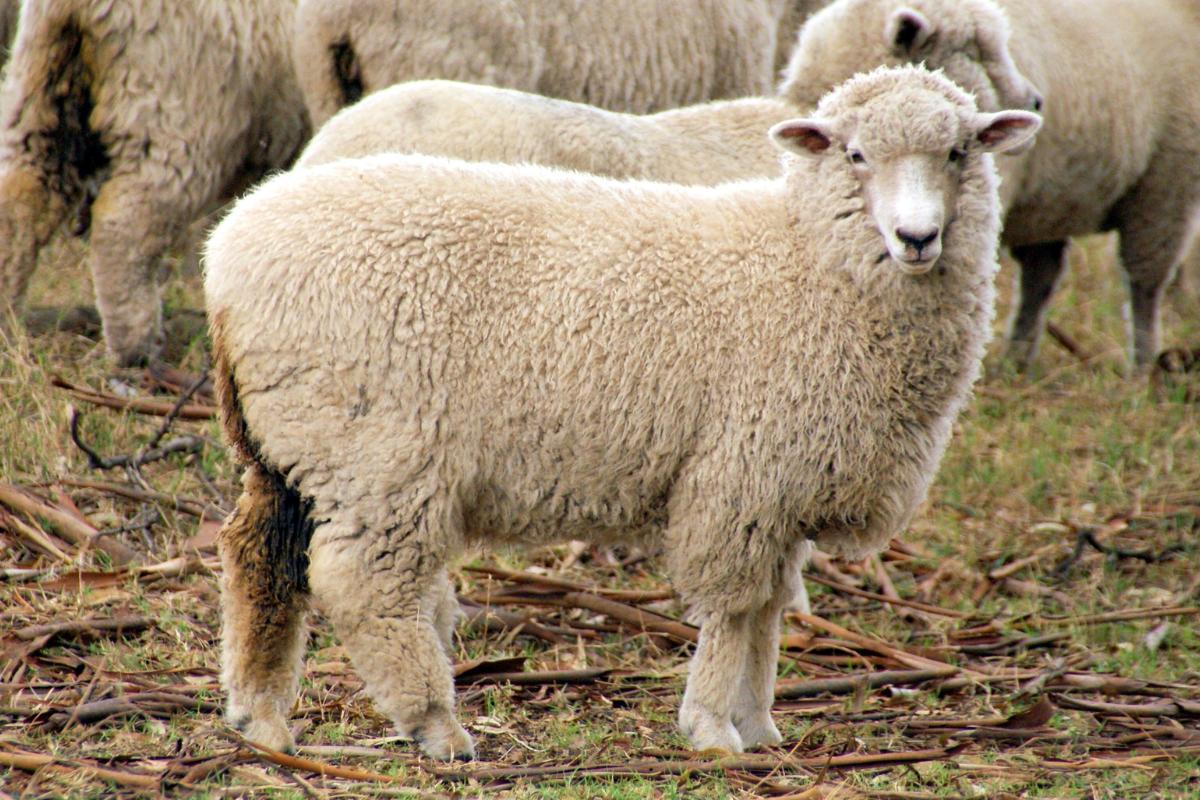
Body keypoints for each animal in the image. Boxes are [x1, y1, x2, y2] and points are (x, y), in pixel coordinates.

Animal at [0, 0, 309, 366]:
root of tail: (77, 7)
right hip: (173, 105)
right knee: (122, 227)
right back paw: (136, 347)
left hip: (43, 83)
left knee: (21, 208)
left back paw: (6, 325)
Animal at [204, 64, 1040, 759]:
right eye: (856, 155)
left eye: (960, 152)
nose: (917, 237)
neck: (805, 262)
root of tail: (228, 257)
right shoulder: (742, 470)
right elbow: (736, 608)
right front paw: (712, 727)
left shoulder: (785, 481)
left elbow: (770, 609)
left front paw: (760, 724)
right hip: (377, 450)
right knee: (362, 582)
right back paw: (435, 724)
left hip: (290, 442)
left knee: (258, 556)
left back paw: (260, 718)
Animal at [788, 0, 1200, 371]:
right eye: (973, 52)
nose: (1036, 102)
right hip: (1052, 207)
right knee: (1042, 275)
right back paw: (1017, 361)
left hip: (1167, 181)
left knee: (1144, 283)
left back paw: (1142, 369)